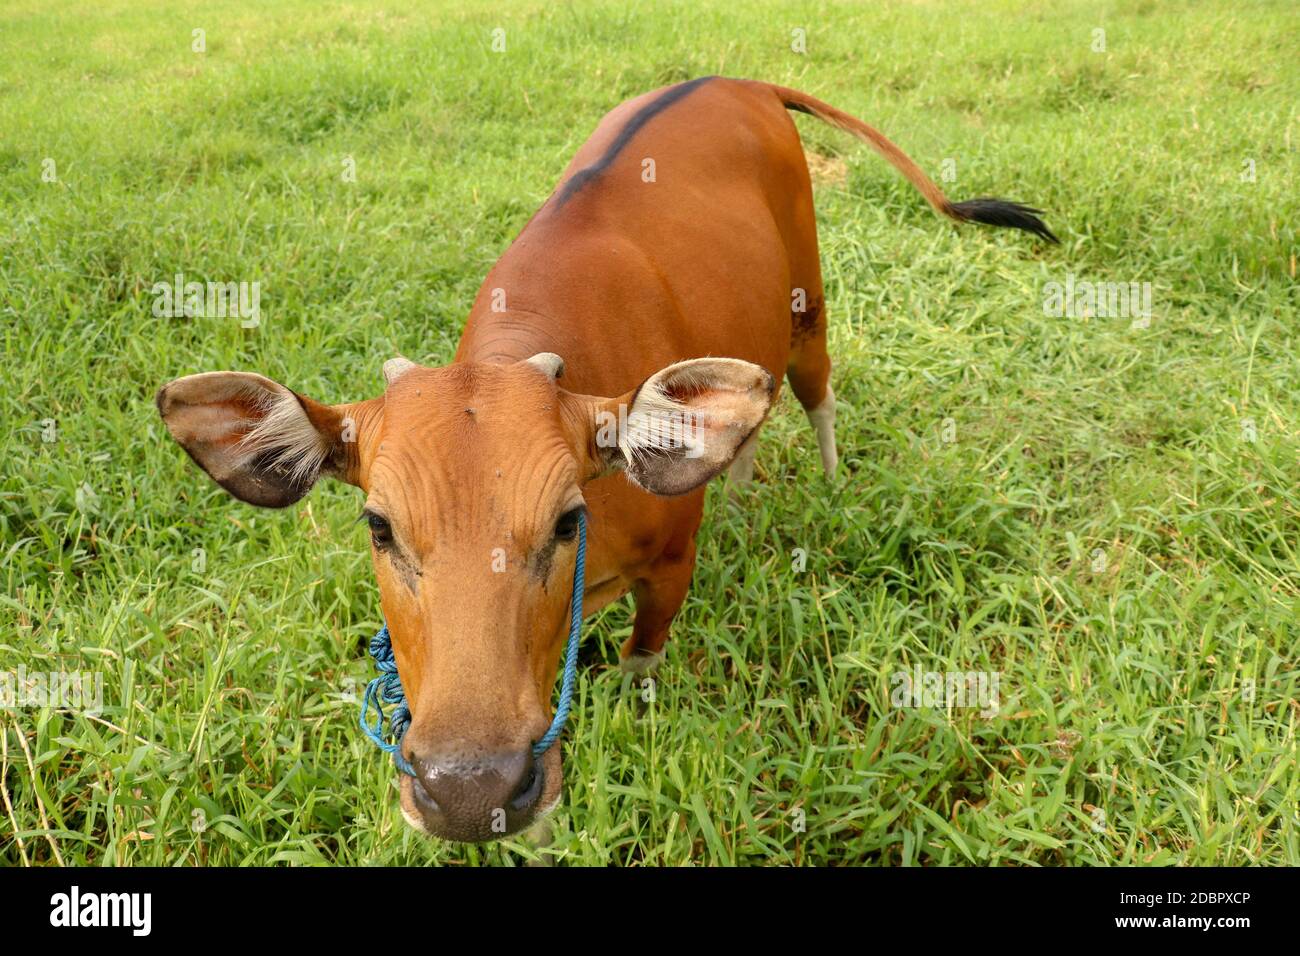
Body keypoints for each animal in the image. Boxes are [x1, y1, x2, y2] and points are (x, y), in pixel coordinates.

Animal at [156, 77, 1056, 843]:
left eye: (566, 522)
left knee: (817, 394)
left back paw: (832, 490)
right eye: (380, 528)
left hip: (810, 302)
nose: (471, 793)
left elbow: (641, 661)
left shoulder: (672, 564)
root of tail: (741, 81)